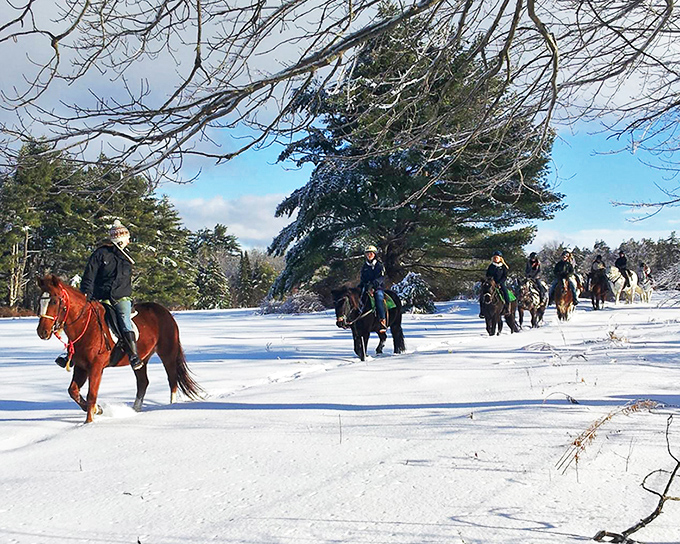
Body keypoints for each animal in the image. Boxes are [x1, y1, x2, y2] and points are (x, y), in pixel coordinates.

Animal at [36, 274, 202, 423]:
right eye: (40, 301)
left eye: (54, 301)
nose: (42, 332)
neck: (86, 326)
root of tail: (164, 311)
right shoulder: (81, 367)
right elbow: (73, 391)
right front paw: (98, 410)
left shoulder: (96, 367)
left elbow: (92, 395)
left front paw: (89, 422)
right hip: (142, 360)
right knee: (143, 382)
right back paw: (135, 410)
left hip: (167, 354)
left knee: (172, 380)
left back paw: (171, 406)